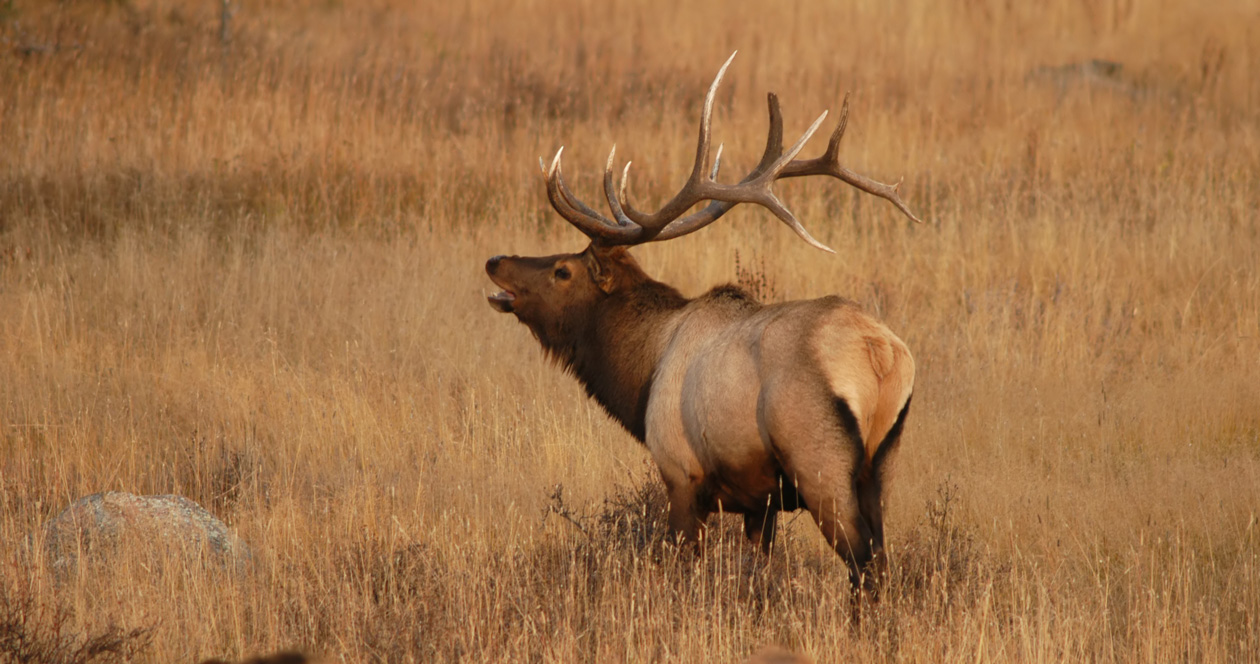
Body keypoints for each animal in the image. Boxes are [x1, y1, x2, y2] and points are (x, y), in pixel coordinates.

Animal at [485, 53, 919, 601]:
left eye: (563, 270)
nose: (495, 261)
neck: (640, 375)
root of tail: (880, 354)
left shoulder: (680, 473)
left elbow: (680, 564)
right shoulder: (761, 503)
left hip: (820, 459)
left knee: (864, 564)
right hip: (883, 465)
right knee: (883, 557)